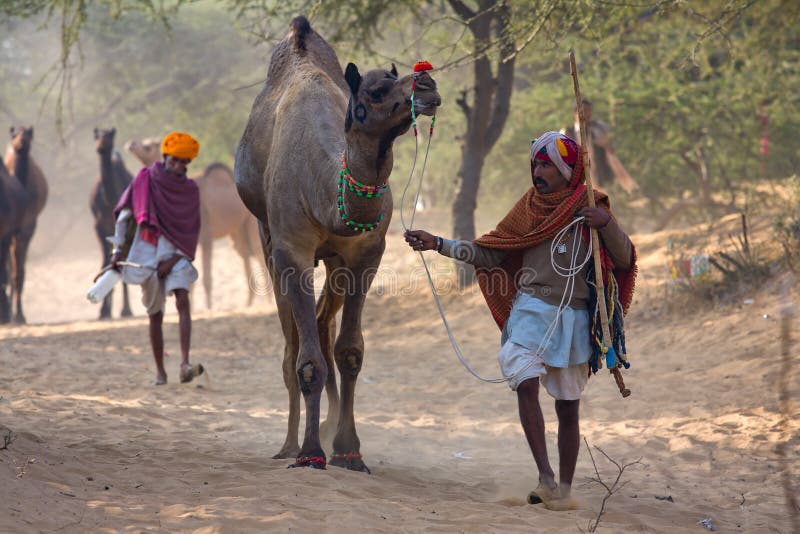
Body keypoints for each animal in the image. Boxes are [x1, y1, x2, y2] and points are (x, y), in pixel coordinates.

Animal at [125, 138, 262, 308]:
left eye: (148, 146)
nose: (130, 144)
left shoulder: (205, 237)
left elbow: (206, 277)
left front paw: (208, 307)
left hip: (250, 221)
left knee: (257, 251)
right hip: (236, 230)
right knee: (244, 253)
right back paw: (249, 302)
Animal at [235, 16, 440, 471]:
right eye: (377, 90)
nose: (427, 83)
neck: (325, 187)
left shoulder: (366, 254)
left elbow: (349, 352)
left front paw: (349, 450)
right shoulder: (292, 250)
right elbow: (308, 360)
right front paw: (310, 452)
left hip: (332, 260)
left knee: (323, 322)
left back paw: (326, 428)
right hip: (266, 237)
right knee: (293, 343)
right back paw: (289, 444)